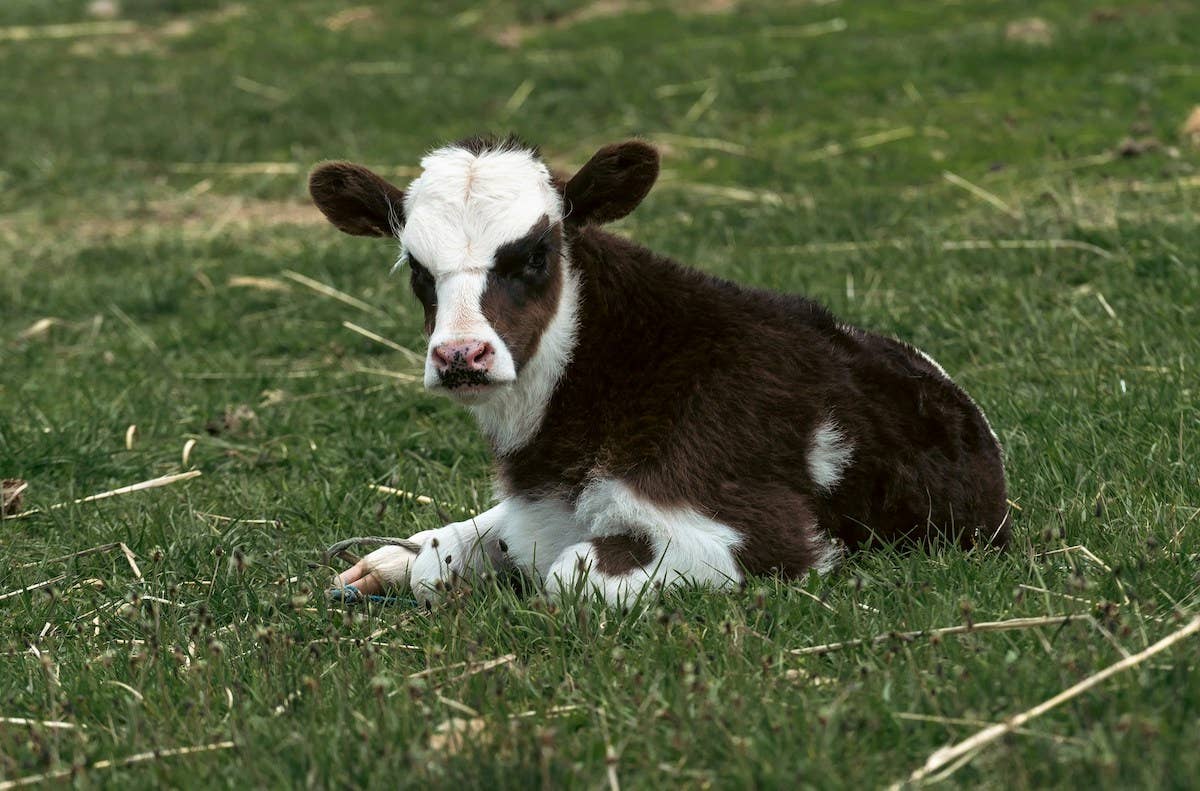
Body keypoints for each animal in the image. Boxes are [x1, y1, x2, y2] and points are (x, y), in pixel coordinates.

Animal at [309, 135, 1009, 607]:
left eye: (535, 254)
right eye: (417, 268)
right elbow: (473, 544)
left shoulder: (754, 529)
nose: (460, 356)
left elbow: (568, 578)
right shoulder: (534, 507)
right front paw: (390, 568)